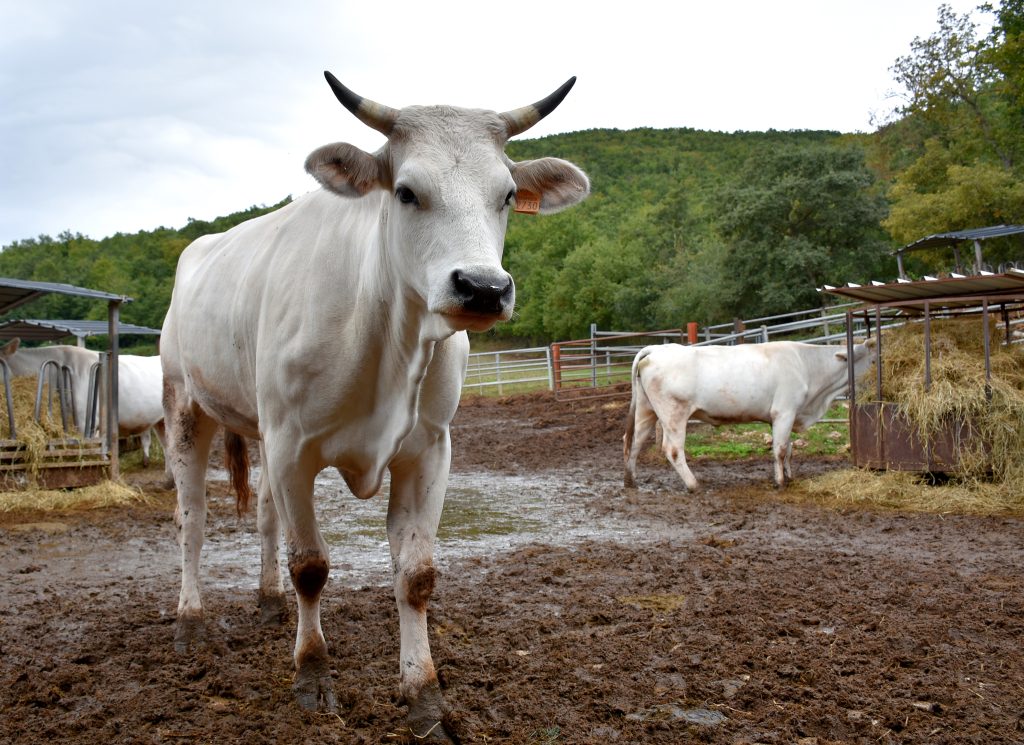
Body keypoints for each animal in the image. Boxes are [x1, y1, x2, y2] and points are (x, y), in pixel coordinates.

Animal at [160, 72, 589, 739]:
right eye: (407, 192)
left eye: (507, 194)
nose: (483, 288)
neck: (387, 338)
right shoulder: (293, 448)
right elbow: (311, 566)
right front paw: (312, 676)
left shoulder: (429, 450)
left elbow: (415, 577)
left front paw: (425, 698)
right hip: (185, 403)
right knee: (193, 519)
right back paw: (191, 621)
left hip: (258, 426)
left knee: (265, 517)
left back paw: (269, 603)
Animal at [623, 339, 877, 490]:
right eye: (873, 360)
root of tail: (656, 348)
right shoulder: (784, 412)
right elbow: (780, 450)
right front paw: (780, 482)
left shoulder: (784, 415)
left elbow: (789, 449)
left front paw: (789, 476)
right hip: (674, 414)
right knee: (673, 450)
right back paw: (694, 484)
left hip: (647, 410)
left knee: (633, 441)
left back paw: (630, 481)